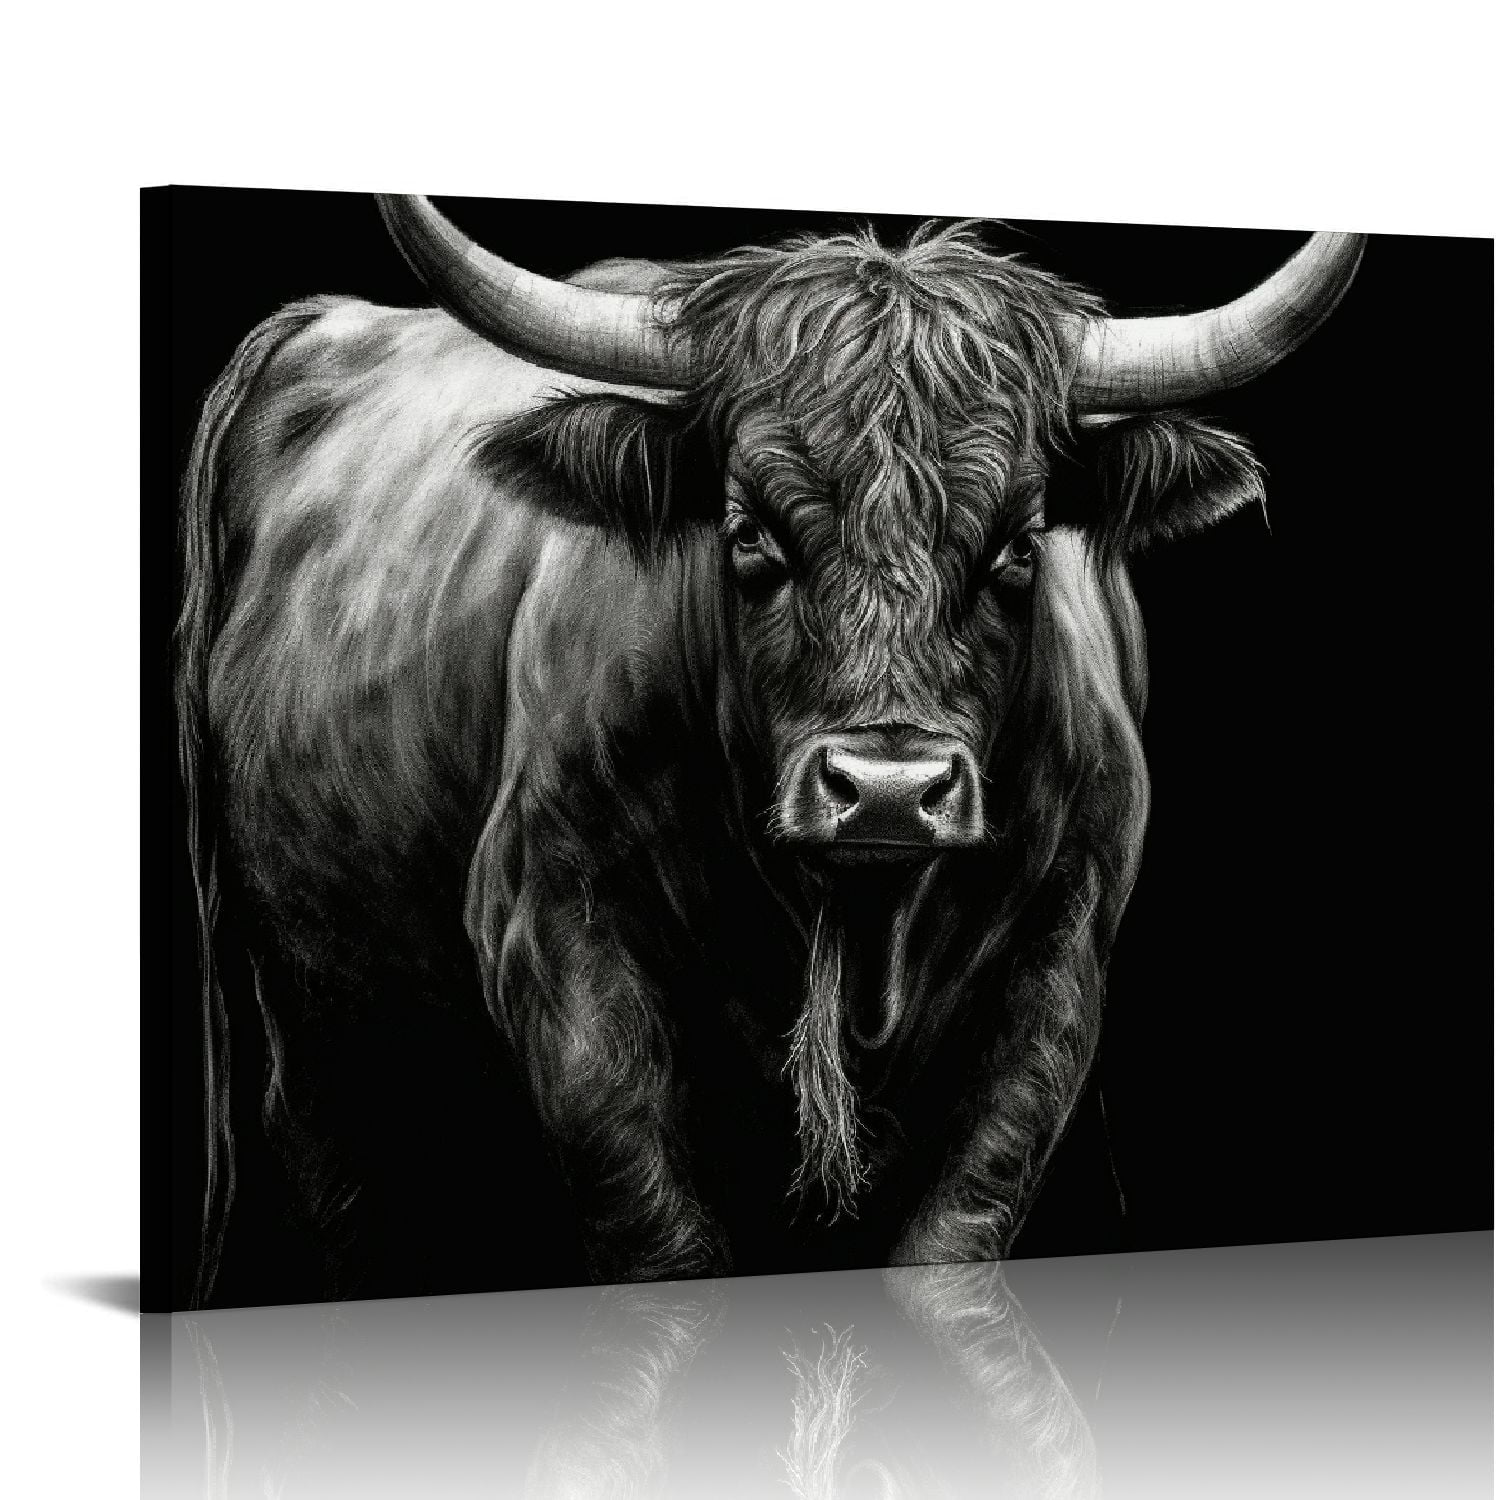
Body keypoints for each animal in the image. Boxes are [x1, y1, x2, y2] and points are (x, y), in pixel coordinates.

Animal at [176, 195, 1363, 1306]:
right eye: (750, 535)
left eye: (1020, 546)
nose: (887, 792)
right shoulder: (549, 923)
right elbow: (661, 1236)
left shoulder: (1063, 952)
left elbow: (955, 1233)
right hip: (308, 1030)